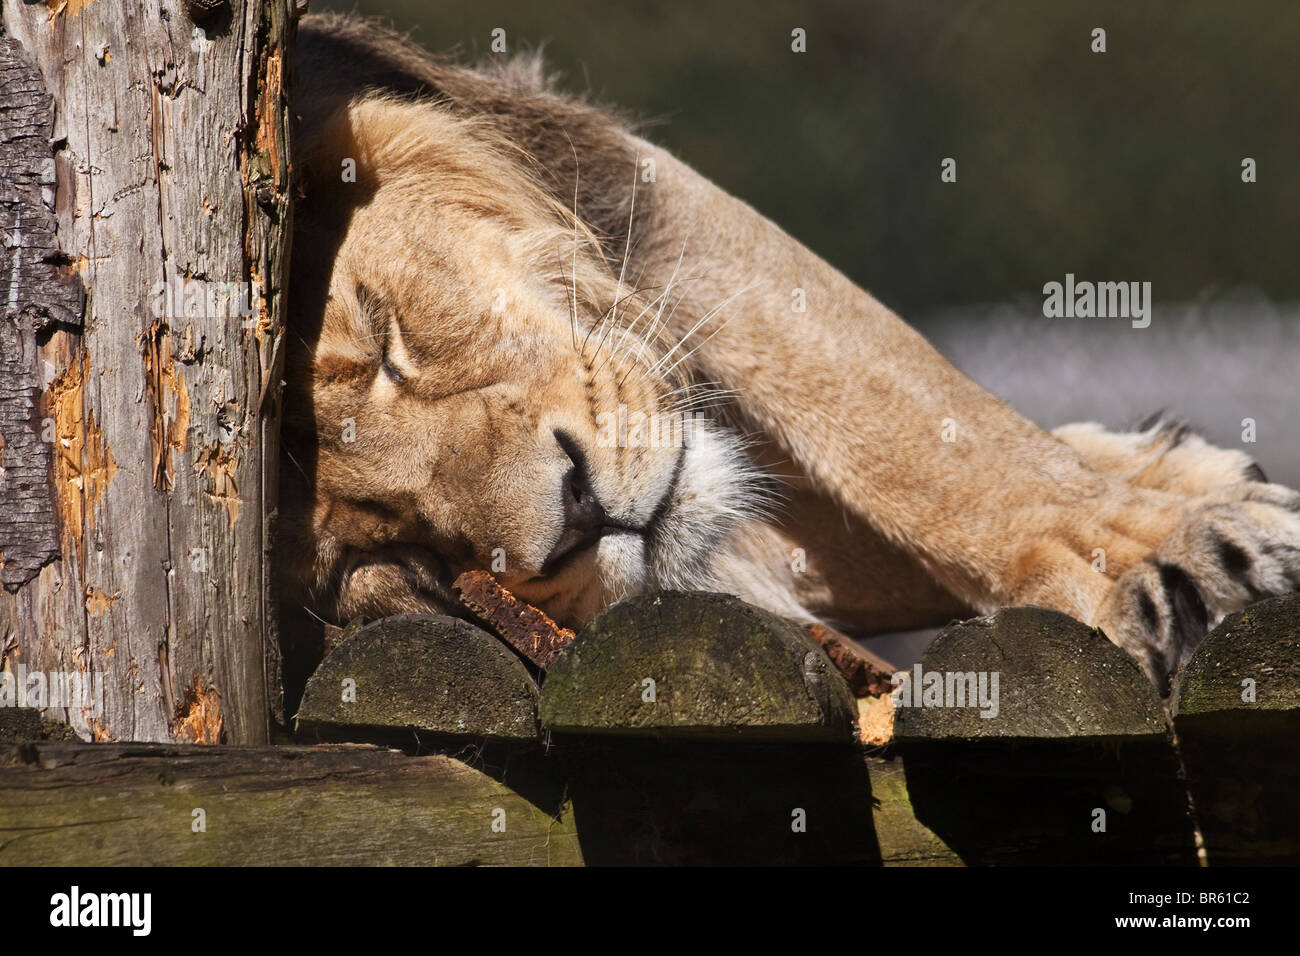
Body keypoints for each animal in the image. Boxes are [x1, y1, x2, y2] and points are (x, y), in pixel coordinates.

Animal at [280, 13, 1300, 692]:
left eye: (385, 342)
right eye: (383, 544)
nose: (576, 518)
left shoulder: (640, 196)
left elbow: (906, 425)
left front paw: (1150, 559)